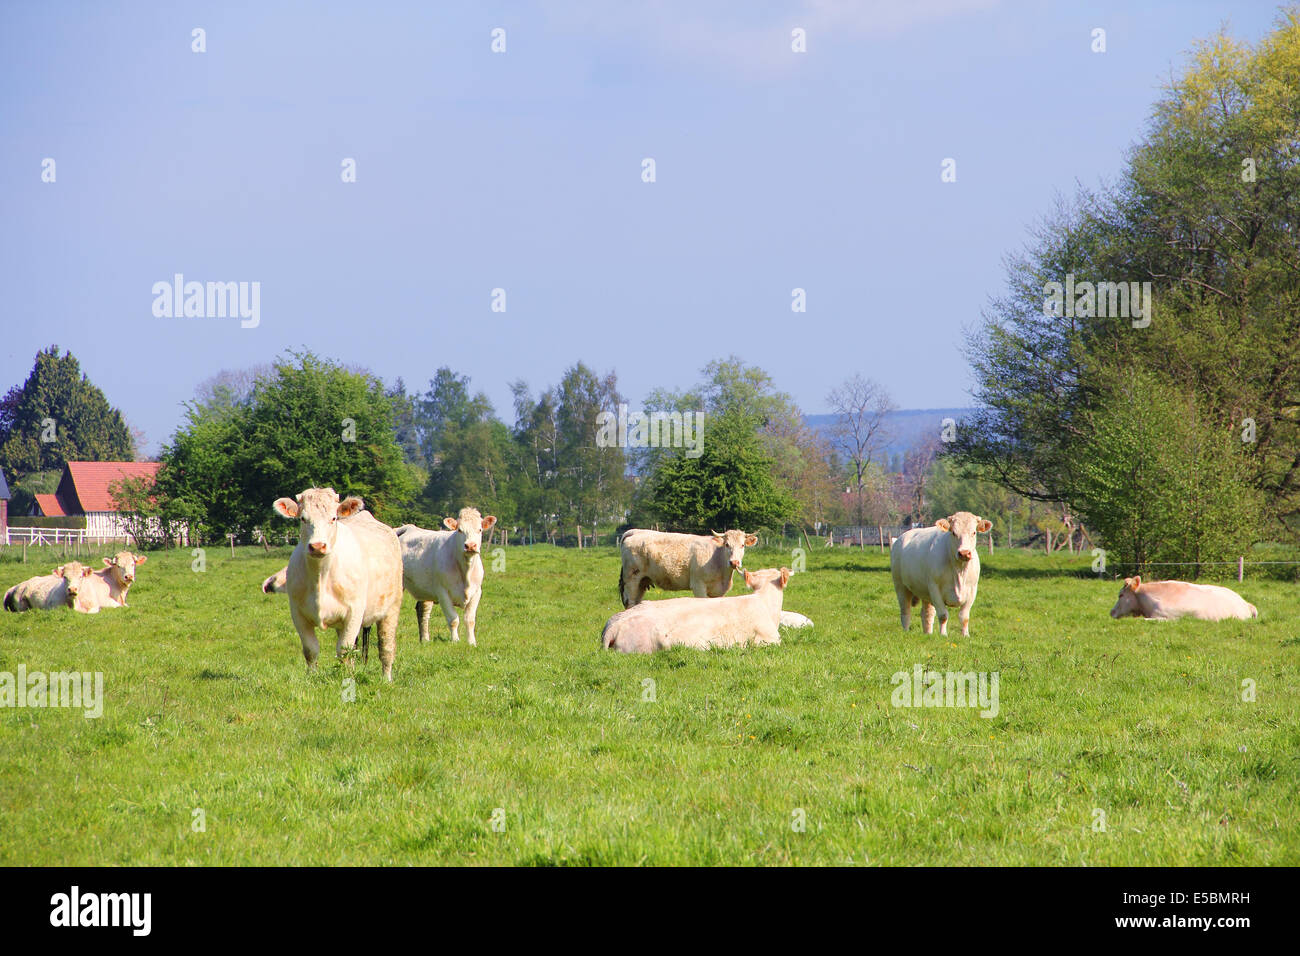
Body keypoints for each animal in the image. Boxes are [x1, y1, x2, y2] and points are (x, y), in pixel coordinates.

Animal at [272, 488, 404, 681]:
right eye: (303, 518)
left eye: (333, 518)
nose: (317, 546)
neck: (320, 575)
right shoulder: (298, 613)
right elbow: (311, 650)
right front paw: (312, 678)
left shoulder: (354, 612)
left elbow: (344, 650)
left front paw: (346, 678)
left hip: (391, 608)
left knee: (386, 647)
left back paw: (386, 679)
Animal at [394, 507, 497, 646]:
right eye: (459, 530)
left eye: (480, 529)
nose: (470, 545)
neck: (465, 572)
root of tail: (407, 527)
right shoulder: (442, 592)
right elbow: (453, 619)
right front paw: (455, 640)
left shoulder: (476, 592)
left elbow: (470, 620)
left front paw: (472, 642)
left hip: (425, 589)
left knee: (423, 611)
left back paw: (425, 639)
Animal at [617, 528, 757, 608]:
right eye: (727, 544)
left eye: (742, 545)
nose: (734, 562)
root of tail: (635, 531)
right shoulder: (698, 585)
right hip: (631, 579)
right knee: (630, 602)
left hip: (642, 581)